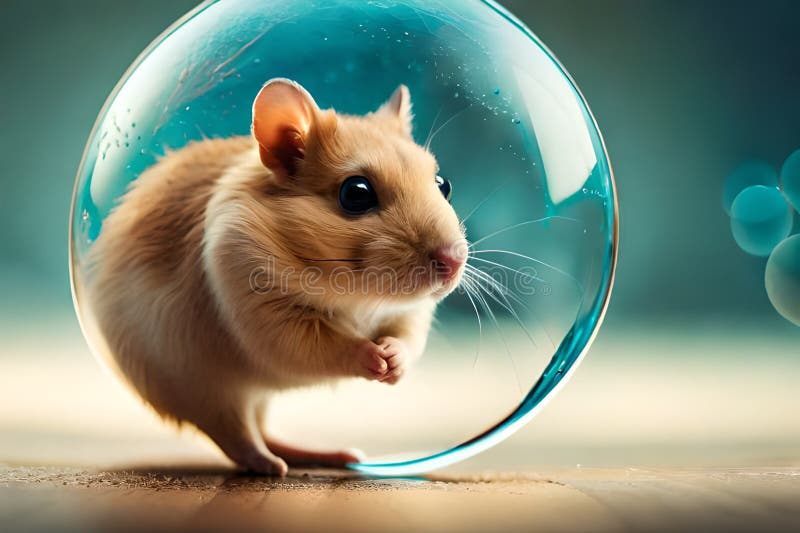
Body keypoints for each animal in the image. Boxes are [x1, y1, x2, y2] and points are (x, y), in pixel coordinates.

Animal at [85, 79, 466, 475]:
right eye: (356, 193)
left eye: (443, 184)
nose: (454, 262)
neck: (356, 295)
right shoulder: (266, 312)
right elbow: (324, 345)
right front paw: (374, 358)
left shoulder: (409, 313)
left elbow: (407, 338)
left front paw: (392, 361)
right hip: (207, 386)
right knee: (234, 434)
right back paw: (272, 466)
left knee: (260, 428)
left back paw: (332, 455)